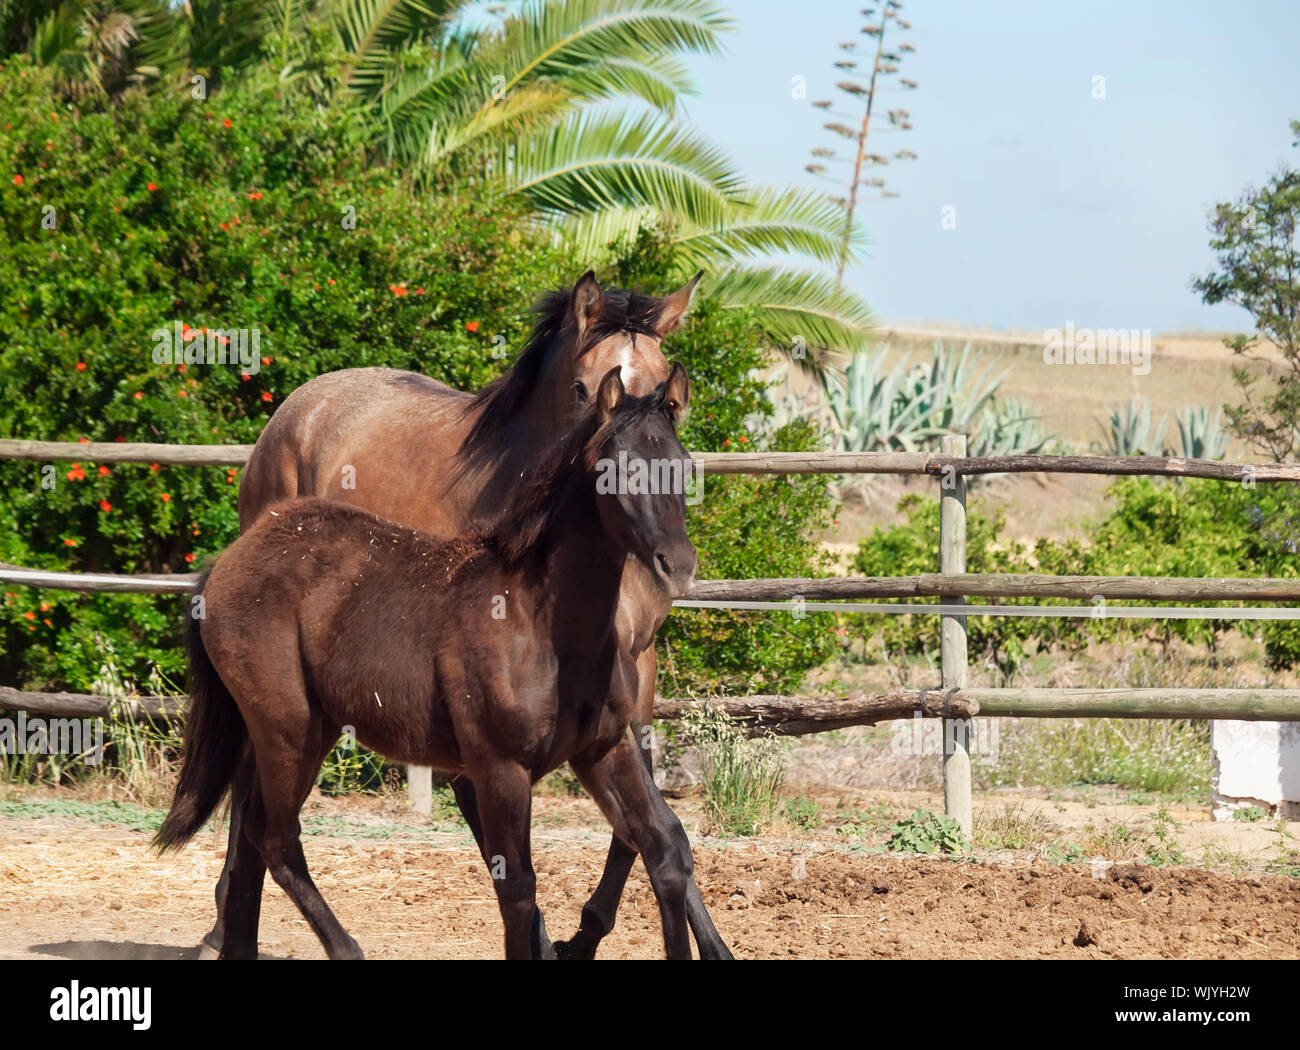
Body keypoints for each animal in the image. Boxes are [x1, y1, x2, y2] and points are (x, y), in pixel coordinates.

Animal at [202, 270, 731, 960]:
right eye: (581, 386)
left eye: (683, 452)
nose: (672, 567)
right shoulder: (486, 749)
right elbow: (516, 870)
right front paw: (556, 938)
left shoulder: (625, 710)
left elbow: (657, 836)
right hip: (291, 717)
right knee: (263, 817)